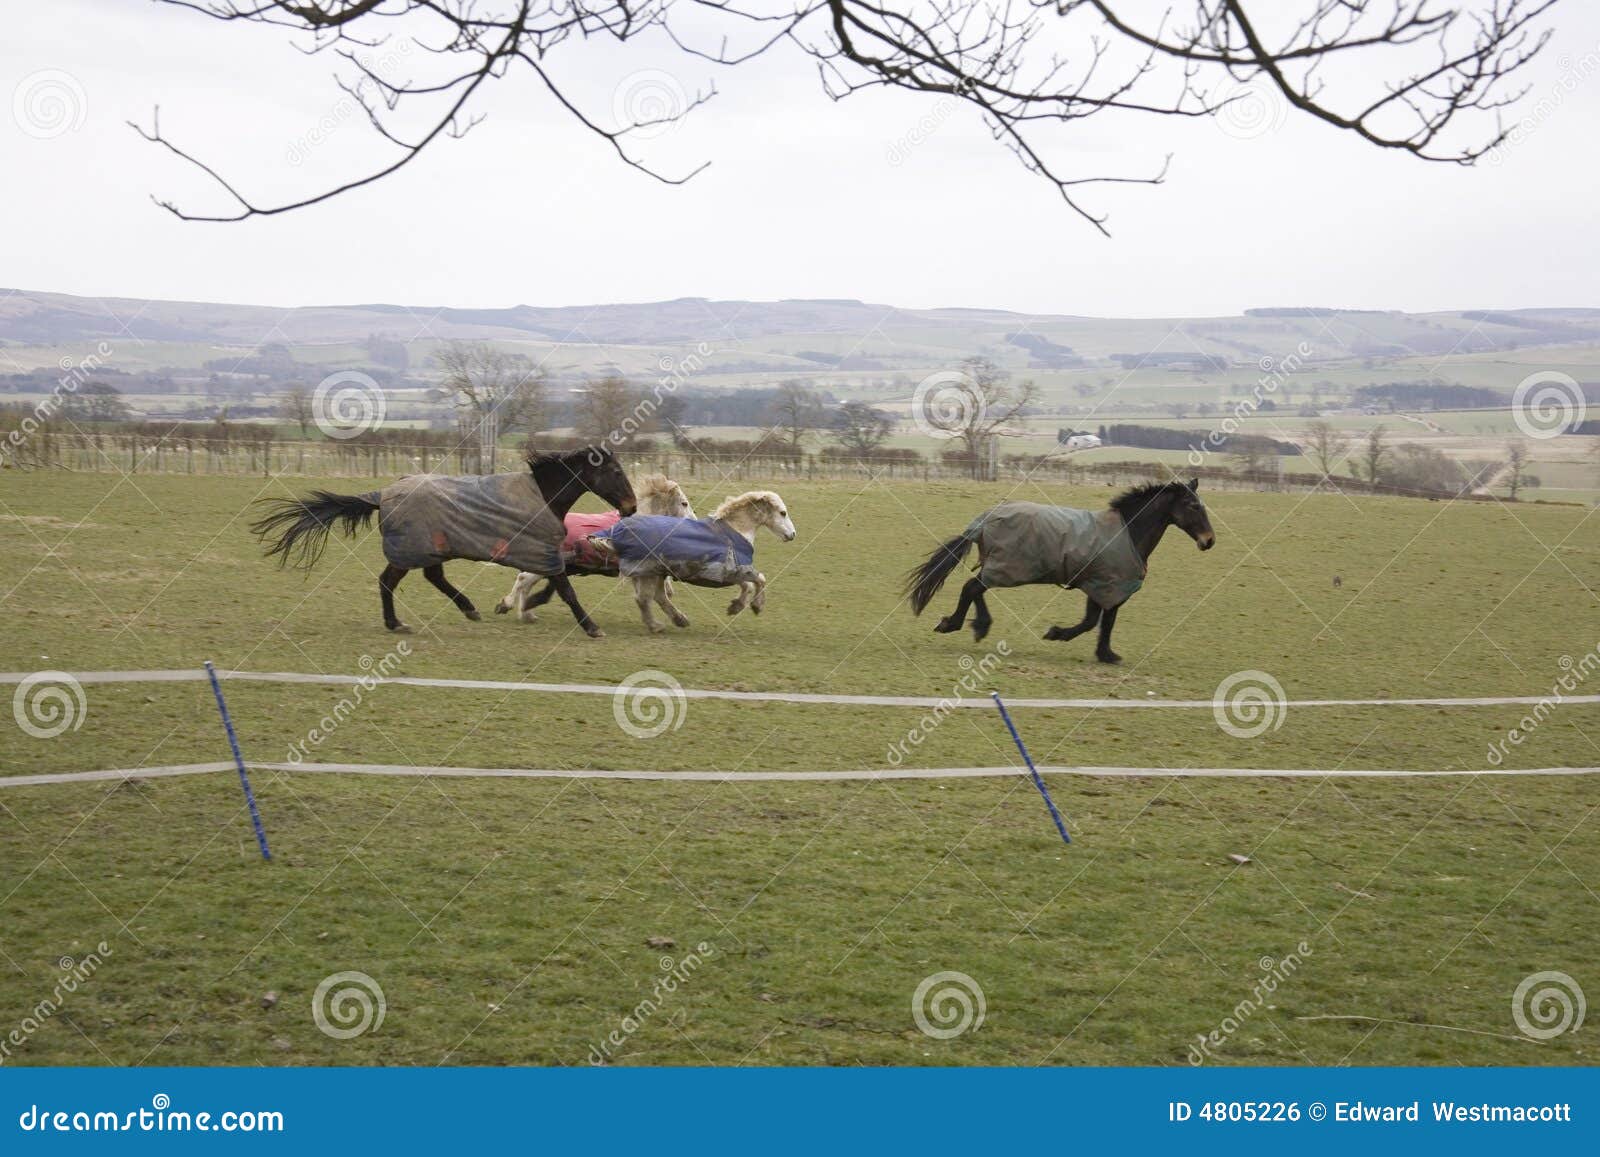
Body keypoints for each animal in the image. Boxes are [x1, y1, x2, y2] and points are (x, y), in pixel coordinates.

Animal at [250, 445, 637, 638]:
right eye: (616, 471)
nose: (631, 507)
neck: (543, 495)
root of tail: (383, 493)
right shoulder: (546, 554)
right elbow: (566, 590)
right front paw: (592, 628)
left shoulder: (545, 556)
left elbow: (555, 587)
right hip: (410, 550)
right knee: (388, 581)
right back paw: (397, 623)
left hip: (431, 548)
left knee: (432, 577)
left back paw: (467, 609)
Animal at [493, 473, 694, 623]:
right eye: (684, 503)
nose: (694, 521)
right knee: (523, 579)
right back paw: (508, 605)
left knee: (526, 582)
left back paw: (526, 613)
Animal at [588, 490, 797, 633]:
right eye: (783, 512)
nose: (793, 534)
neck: (736, 530)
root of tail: (617, 534)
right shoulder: (735, 571)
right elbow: (759, 580)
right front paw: (755, 606)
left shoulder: (731, 574)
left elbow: (749, 586)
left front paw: (735, 606)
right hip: (648, 572)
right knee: (644, 599)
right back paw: (657, 626)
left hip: (655, 573)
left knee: (657, 597)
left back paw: (679, 619)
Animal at [904, 478, 1215, 663]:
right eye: (1192, 506)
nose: (1209, 541)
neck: (1127, 531)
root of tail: (984, 520)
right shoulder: (1107, 586)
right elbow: (1096, 622)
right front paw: (1064, 637)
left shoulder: (1102, 587)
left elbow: (1097, 621)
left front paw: (1102, 652)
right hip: (1005, 568)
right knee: (972, 587)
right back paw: (954, 624)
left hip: (999, 567)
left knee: (975, 588)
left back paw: (978, 625)